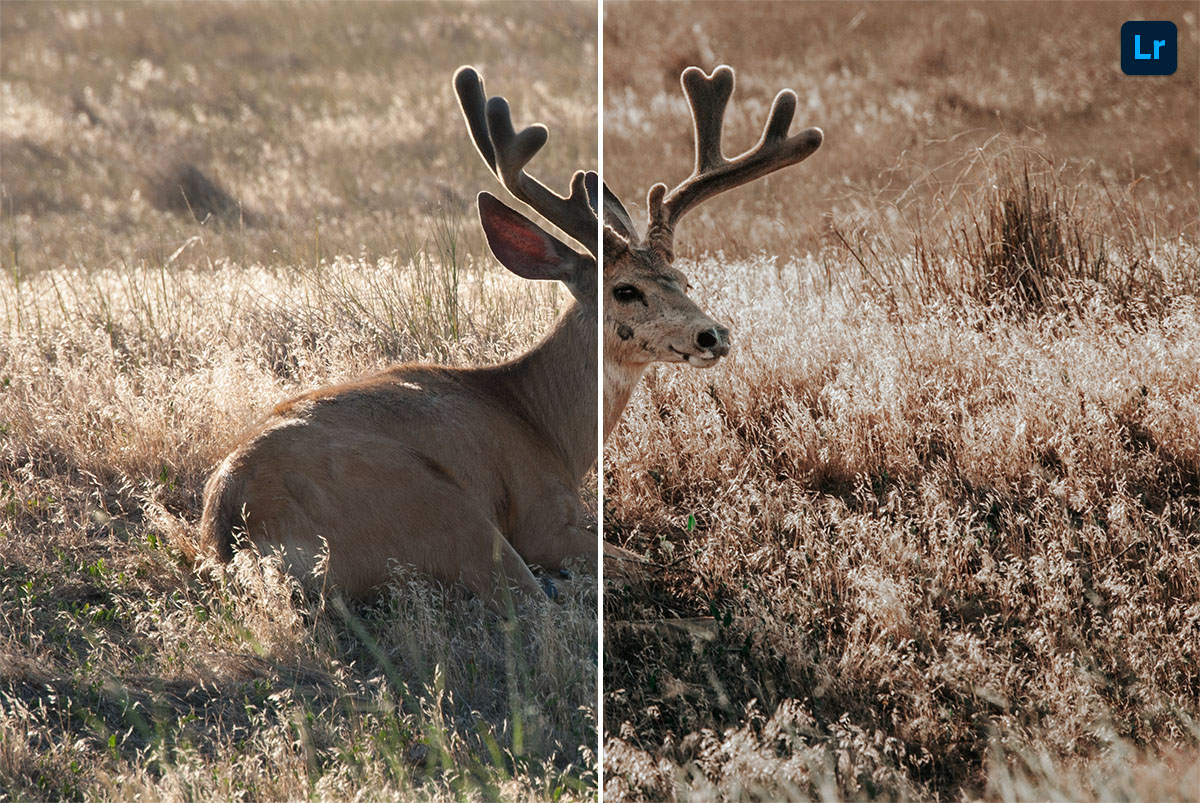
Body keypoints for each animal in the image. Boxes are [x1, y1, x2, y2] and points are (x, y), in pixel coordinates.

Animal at [198, 66, 599, 611]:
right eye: (630, 289)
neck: (543, 425)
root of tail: (236, 526)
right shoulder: (545, 519)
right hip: (448, 513)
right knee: (529, 599)